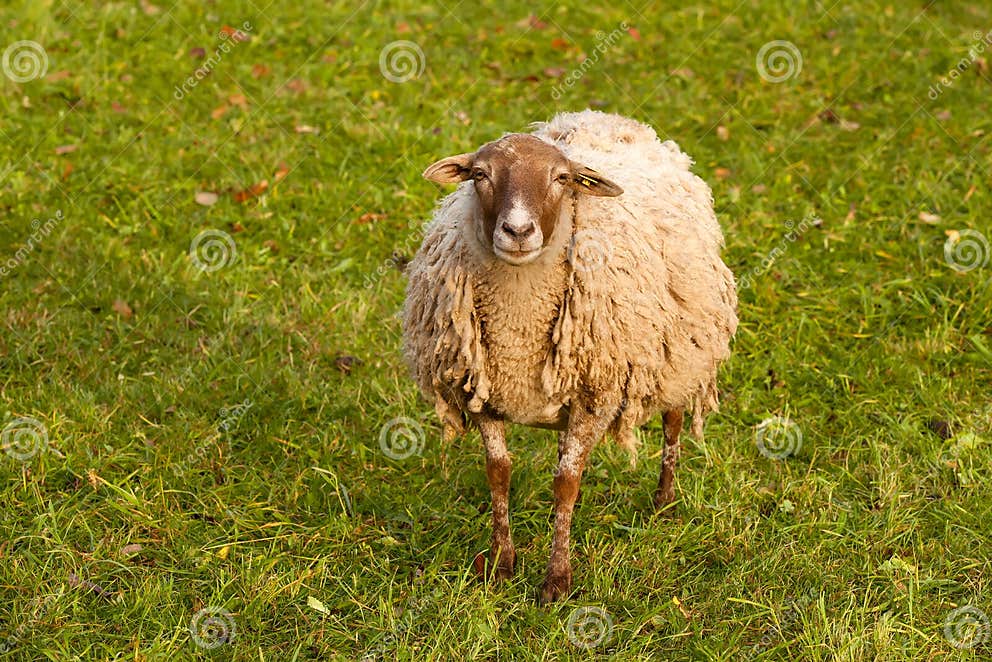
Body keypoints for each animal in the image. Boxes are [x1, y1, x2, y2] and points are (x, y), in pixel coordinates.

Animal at [402, 110, 738, 603]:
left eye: (560, 178)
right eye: (480, 175)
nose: (518, 232)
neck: (519, 325)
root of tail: (607, 119)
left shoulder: (596, 396)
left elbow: (567, 483)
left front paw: (556, 582)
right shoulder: (480, 391)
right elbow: (498, 472)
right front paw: (501, 565)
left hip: (680, 350)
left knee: (673, 422)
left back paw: (663, 502)